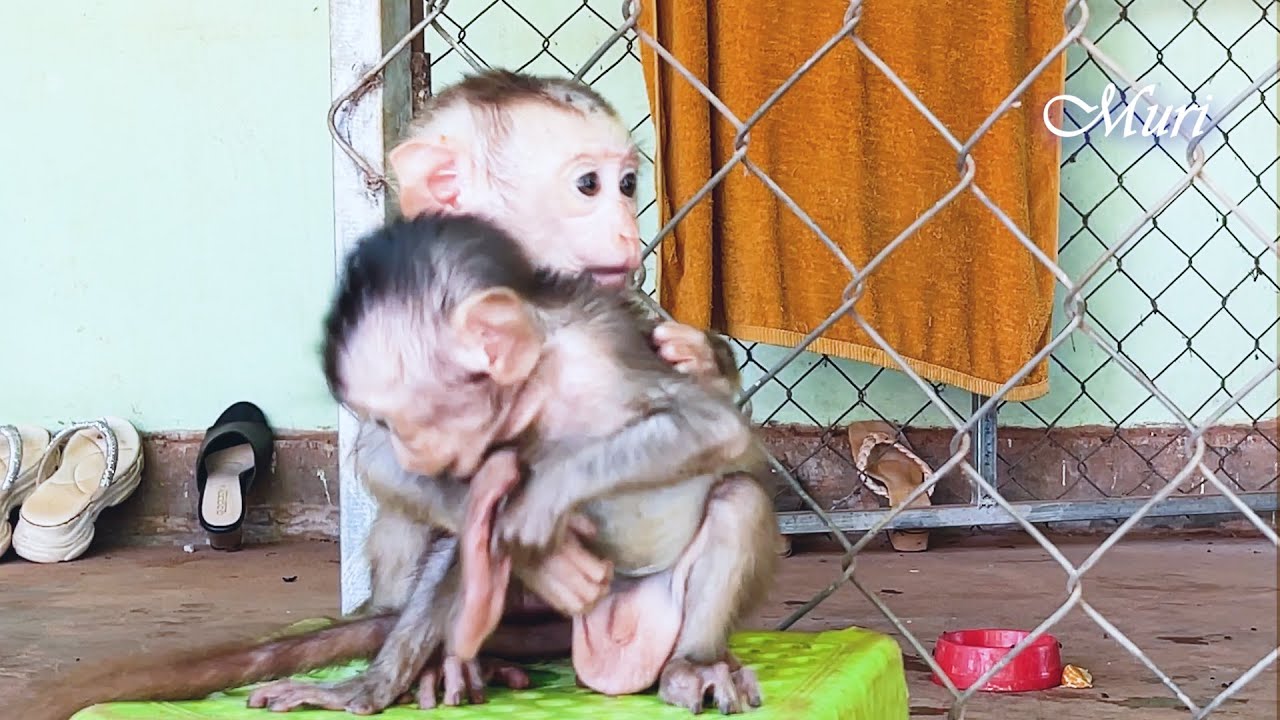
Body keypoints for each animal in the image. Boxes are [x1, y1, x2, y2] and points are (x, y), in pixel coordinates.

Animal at [241, 213, 779, 715]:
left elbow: (713, 426)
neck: (539, 386)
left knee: (739, 498)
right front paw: (372, 684)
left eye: (392, 422)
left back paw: (693, 665)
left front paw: (540, 502)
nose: (406, 452)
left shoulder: (597, 358)